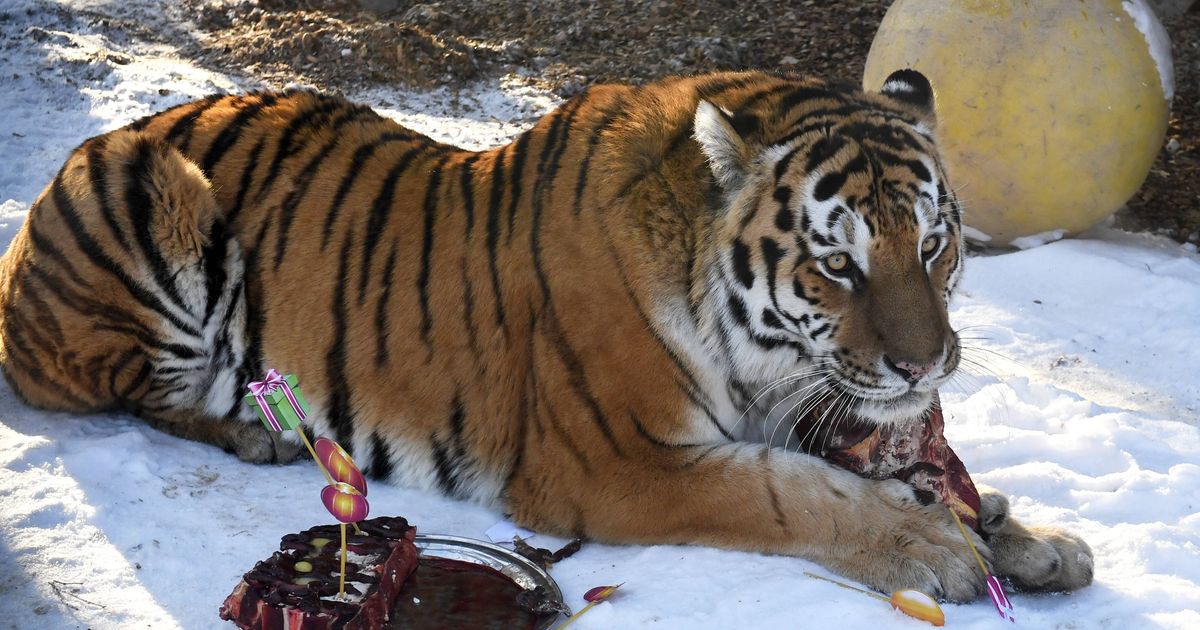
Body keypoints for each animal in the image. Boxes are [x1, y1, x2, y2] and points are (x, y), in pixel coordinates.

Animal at [0, 69, 1093, 599]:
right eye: (839, 263)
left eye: (938, 247)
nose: (925, 366)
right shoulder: (622, 462)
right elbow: (796, 493)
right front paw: (936, 547)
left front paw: (1026, 541)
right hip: (156, 203)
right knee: (132, 391)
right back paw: (256, 433)